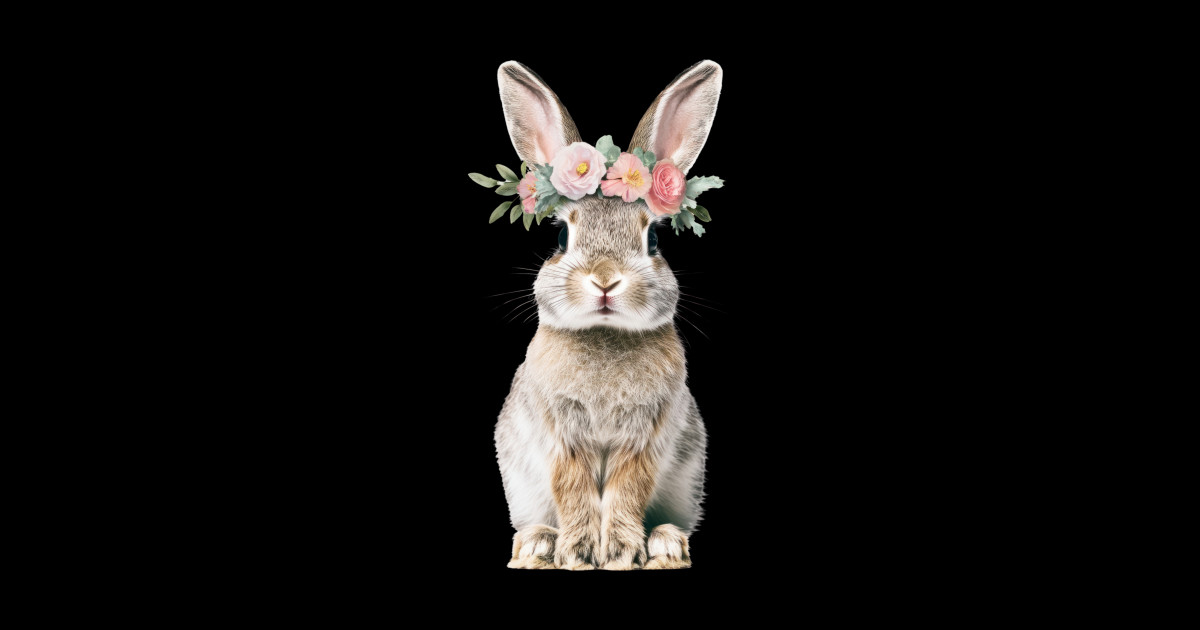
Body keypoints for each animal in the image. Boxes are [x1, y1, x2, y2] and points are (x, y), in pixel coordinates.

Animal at [493, 60, 722, 570]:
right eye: (561, 238)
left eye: (653, 240)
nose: (604, 280)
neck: (604, 334)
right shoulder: (561, 435)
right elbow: (574, 488)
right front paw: (578, 552)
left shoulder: (644, 437)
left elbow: (626, 489)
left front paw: (618, 550)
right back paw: (537, 544)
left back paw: (666, 544)